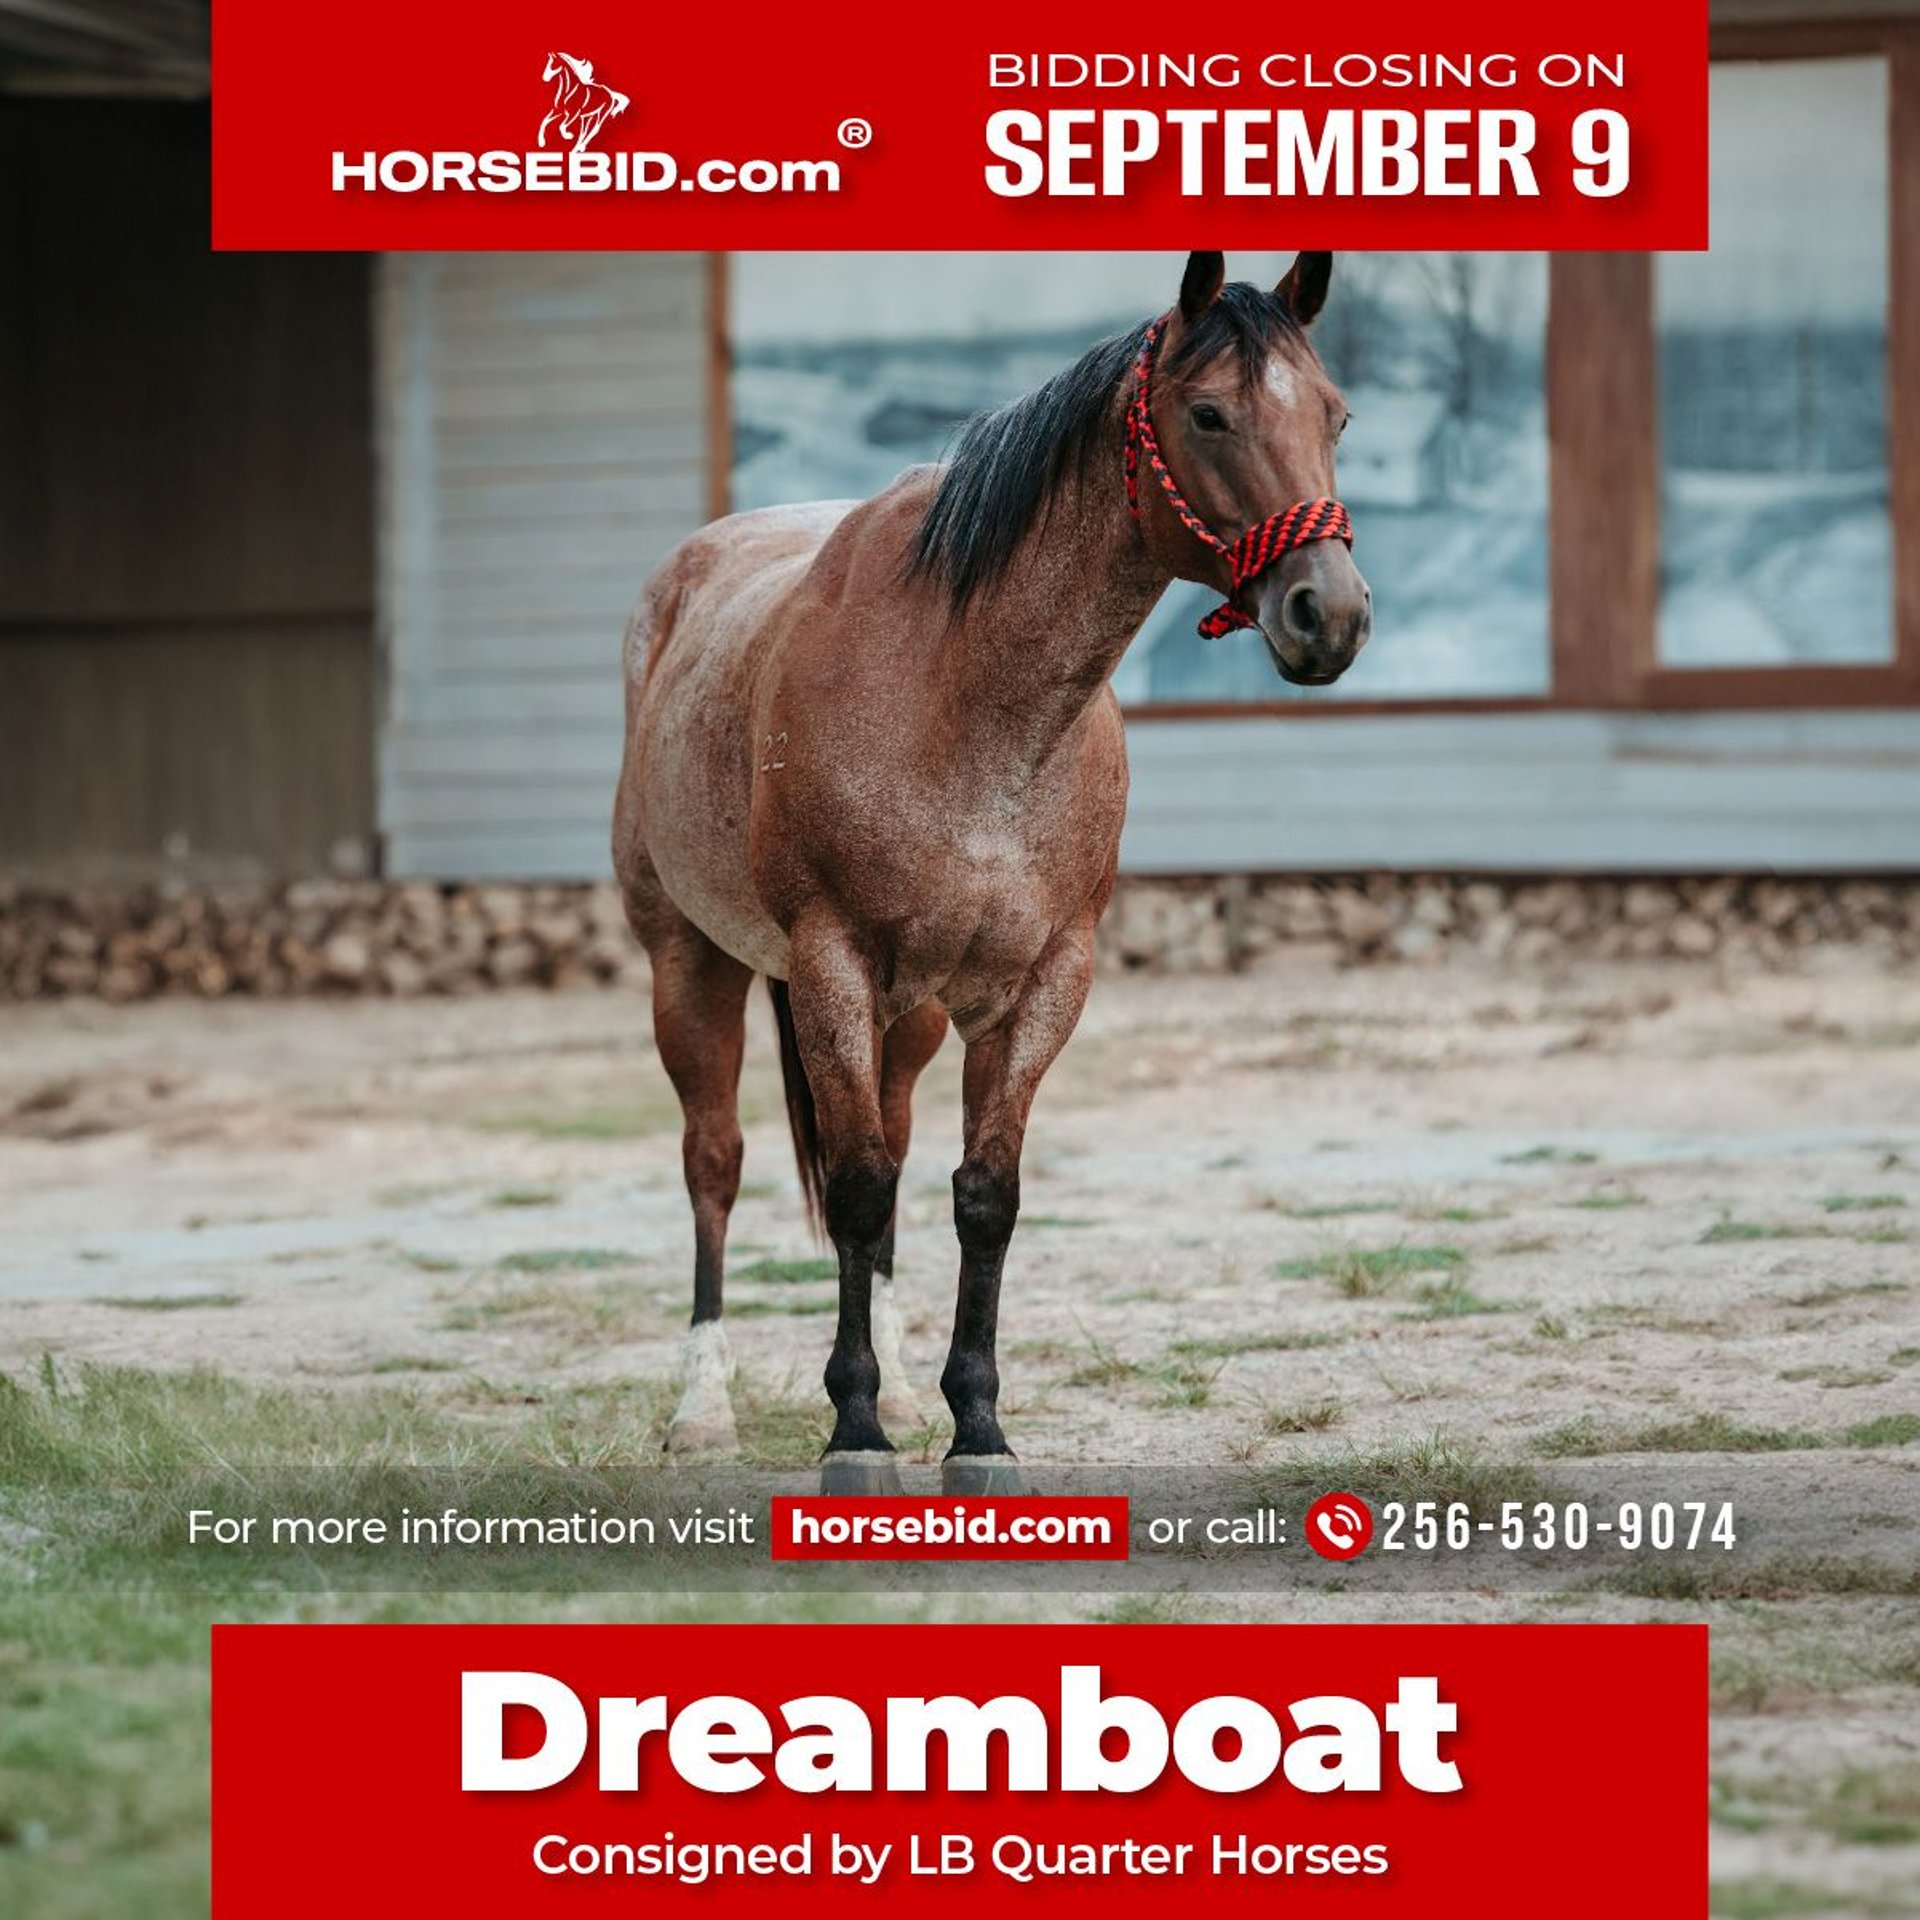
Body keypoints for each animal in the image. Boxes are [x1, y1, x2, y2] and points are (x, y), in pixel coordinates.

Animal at [613, 253, 1370, 1493]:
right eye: (1210, 415)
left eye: (1336, 417)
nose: (1330, 614)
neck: (967, 701)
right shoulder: (829, 964)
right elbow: (856, 1187)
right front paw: (855, 1433)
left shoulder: (1041, 984)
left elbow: (981, 1196)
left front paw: (971, 1425)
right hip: (690, 962)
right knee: (715, 1162)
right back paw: (702, 1409)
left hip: (911, 1016)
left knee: (892, 1151)